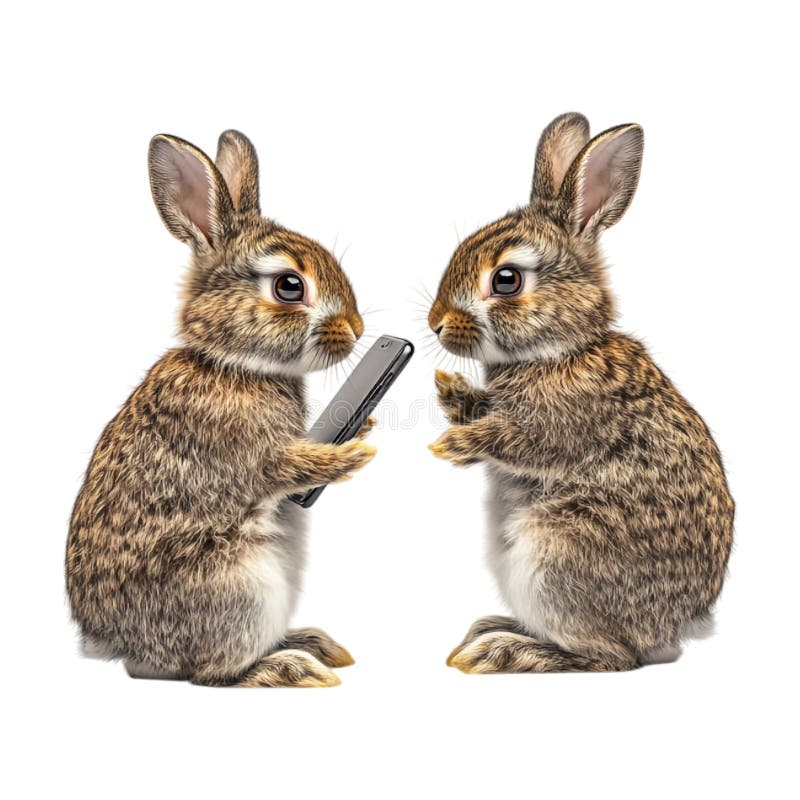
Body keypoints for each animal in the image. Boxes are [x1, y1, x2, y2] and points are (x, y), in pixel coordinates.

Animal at [66, 130, 376, 687]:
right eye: (289, 286)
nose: (357, 329)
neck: (233, 363)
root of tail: (115, 647)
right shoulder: (246, 451)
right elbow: (283, 468)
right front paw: (351, 455)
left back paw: (312, 645)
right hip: (244, 588)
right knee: (210, 673)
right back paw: (289, 669)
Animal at [428, 113, 734, 673]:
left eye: (506, 280)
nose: (436, 324)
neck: (560, 349)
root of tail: (679, 627)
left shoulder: (567, 421)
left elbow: (523, 443)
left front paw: (453, 446)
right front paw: (451, 393)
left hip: (553, 555)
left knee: (612, 658)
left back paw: (504, 651)